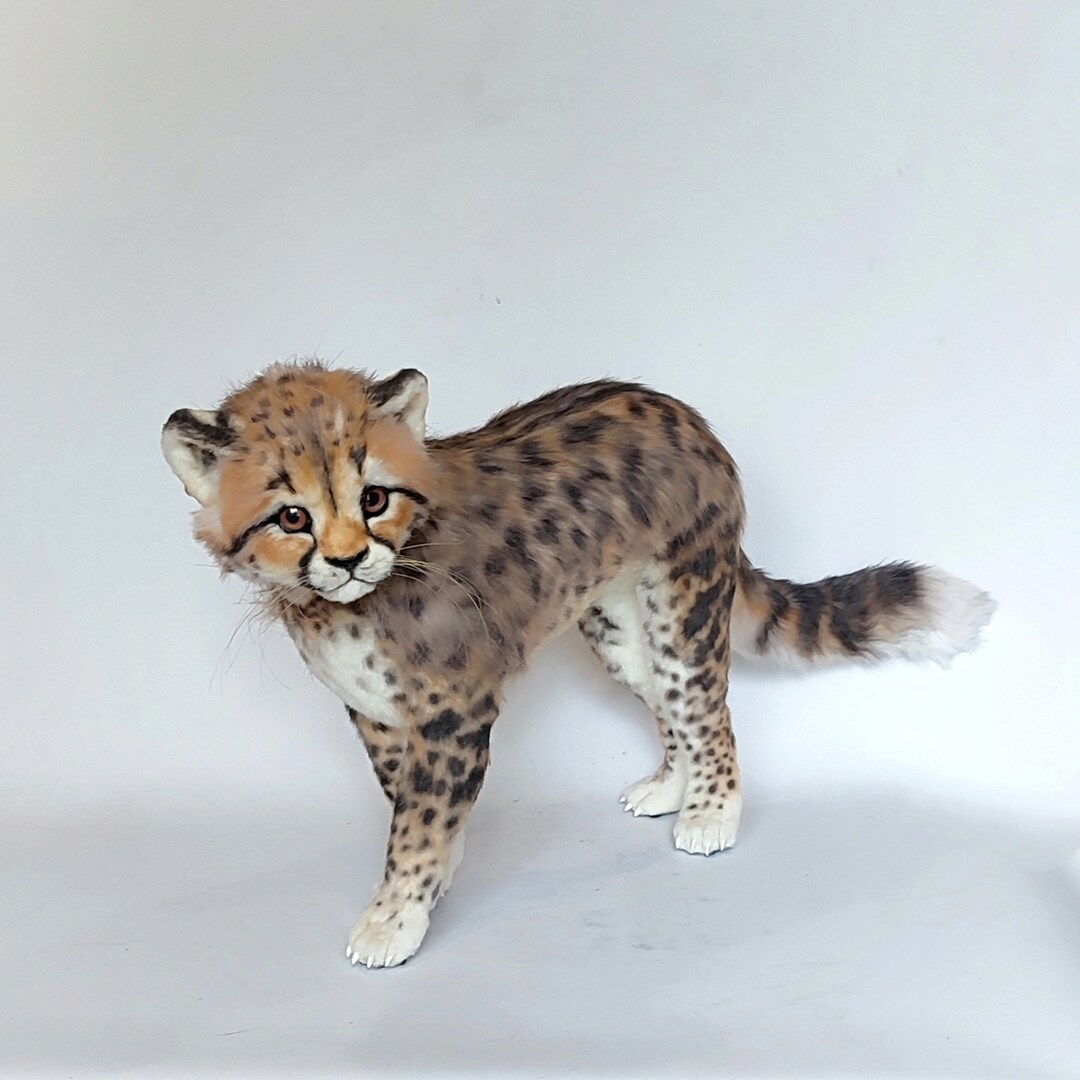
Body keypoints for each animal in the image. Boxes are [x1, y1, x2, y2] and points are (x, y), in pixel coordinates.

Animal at [162, 361, 995, 968]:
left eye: (373, 498)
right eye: (291, 515)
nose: (346, 560)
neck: (344, 605)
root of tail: (684, 414)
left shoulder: (454, 711)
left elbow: (418, 824)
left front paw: (393, 919)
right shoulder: (378, 714)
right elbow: (408, 803)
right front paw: (435, 882)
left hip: (685, 605)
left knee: (710, 707)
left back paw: (711, 814)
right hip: (621, 628)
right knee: (670, 703)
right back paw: (670, 788)